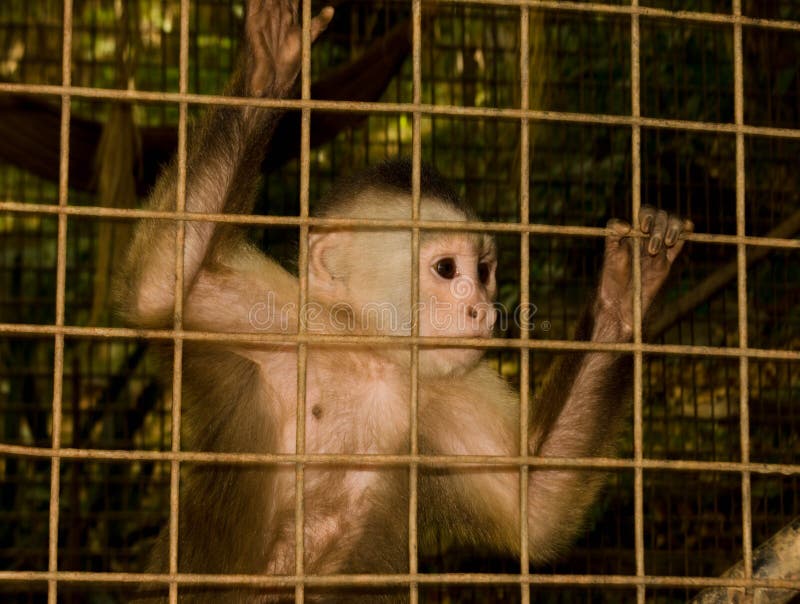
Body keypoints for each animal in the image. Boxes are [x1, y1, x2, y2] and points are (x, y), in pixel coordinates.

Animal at [114, 1, 693, 602]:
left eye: (484, 272)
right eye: (446, 270)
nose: (483, 309)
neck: (369, 357)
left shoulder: (446, 397)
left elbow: (535, 504)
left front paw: (624, 293)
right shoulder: (268, 317)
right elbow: (158, 291)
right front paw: (268, 72)